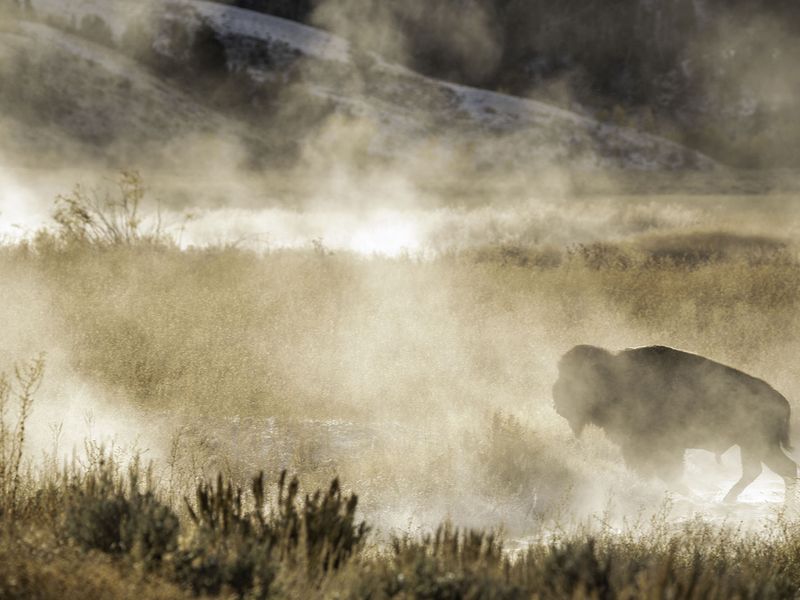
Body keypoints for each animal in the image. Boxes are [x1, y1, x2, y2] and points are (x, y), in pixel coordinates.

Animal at [552, 345, 798, 502]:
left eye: (573, 377)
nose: (556, 401)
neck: (615, 376)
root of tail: (782, 401)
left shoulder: (656, 446)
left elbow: (666, 471)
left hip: (758, 445)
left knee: (778, 469)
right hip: (754, 447)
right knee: (770, 470)